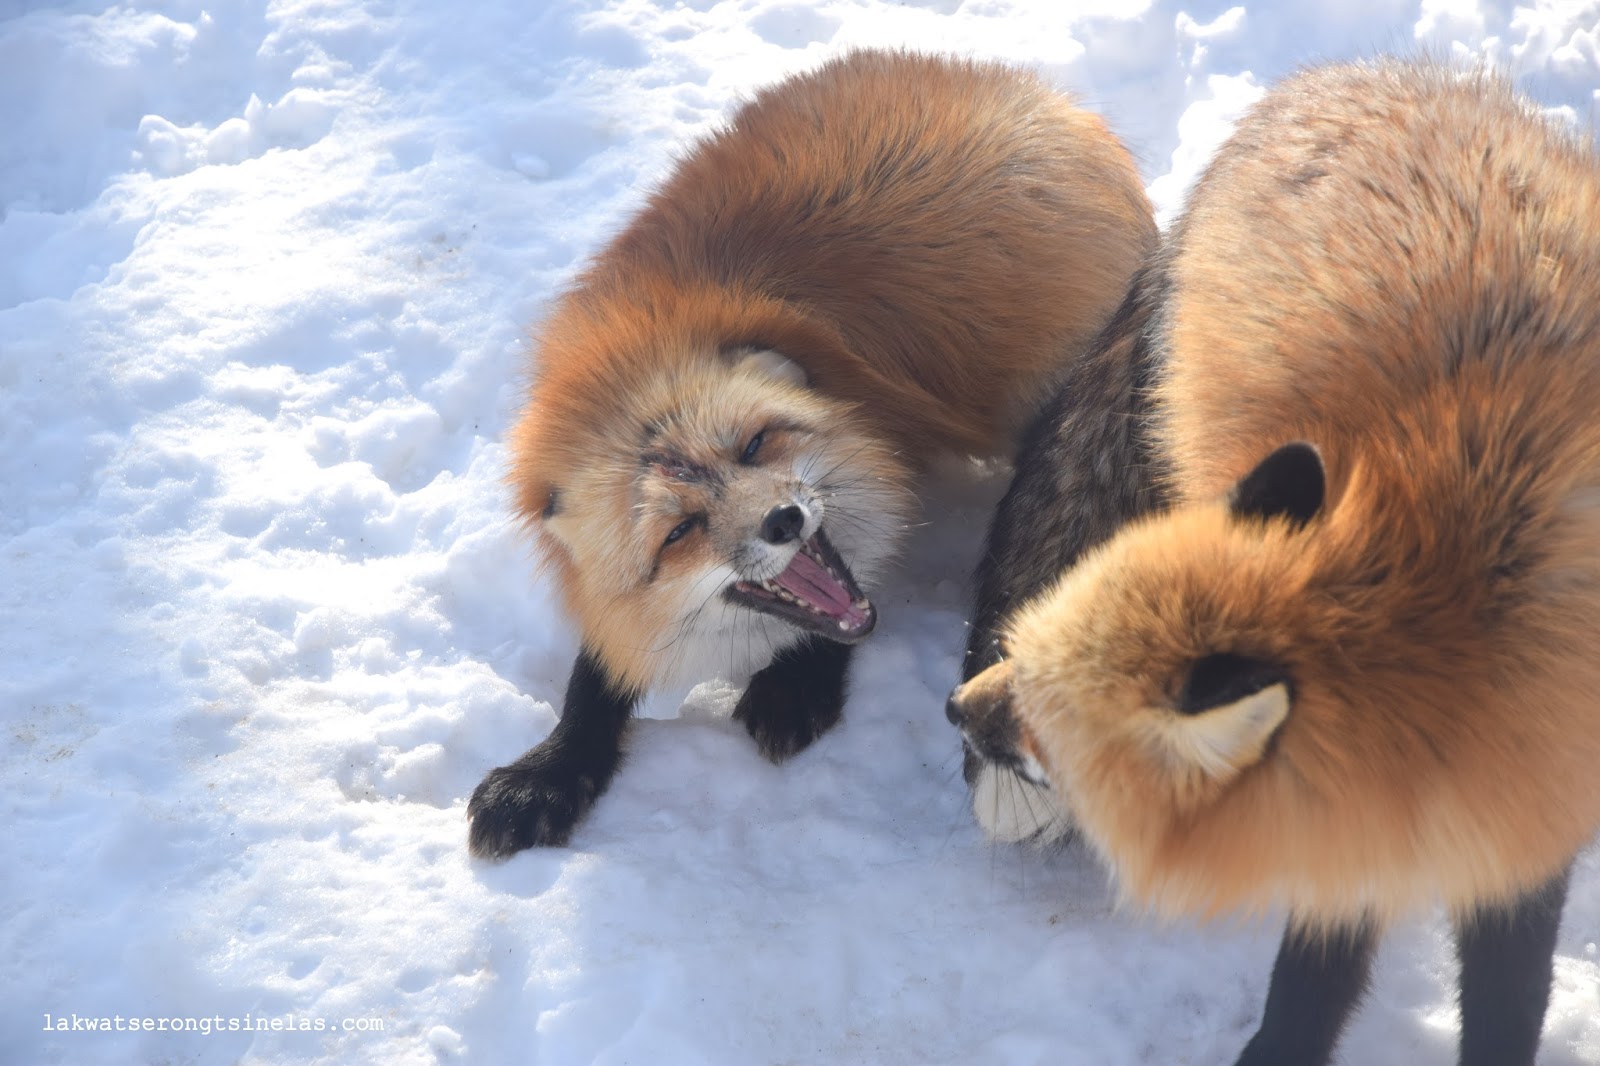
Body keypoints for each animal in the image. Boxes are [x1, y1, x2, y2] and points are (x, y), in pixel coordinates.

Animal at [467, 49, 1157, 857]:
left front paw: (798, 683)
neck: (635, 354)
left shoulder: (887, 451)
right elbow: (598, 665)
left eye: (755, 443)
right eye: (680, 532)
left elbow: (862, 575)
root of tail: (1032, 91)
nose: (784, 522)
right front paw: (552, 768)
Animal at [947, 59, 1600, 1066]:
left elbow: (1506, 1006)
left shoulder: (1526, 825)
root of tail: (1346, 74)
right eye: (1017, 653)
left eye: (1041, 720)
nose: (954, 707)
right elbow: (1311, 985)